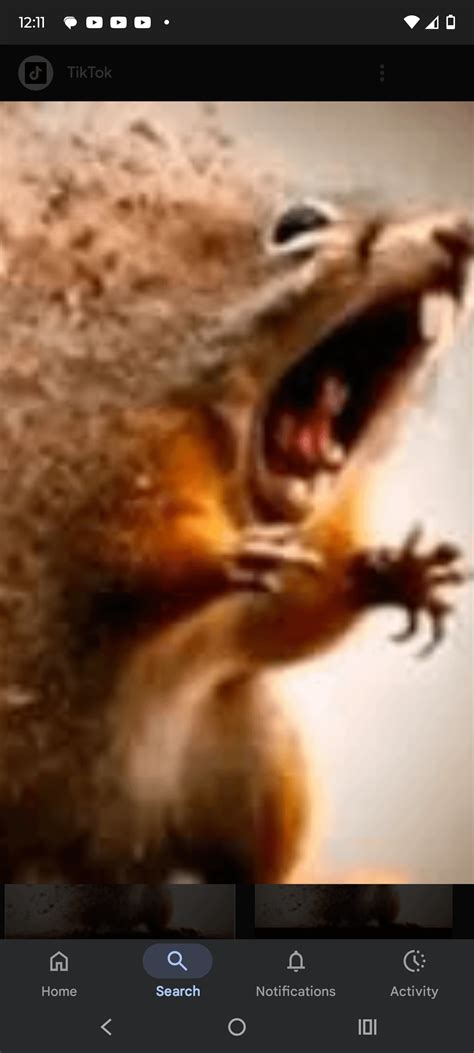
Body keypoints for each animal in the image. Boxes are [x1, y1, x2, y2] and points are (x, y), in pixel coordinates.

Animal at [0, 103, 472, 883]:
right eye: (298, 224)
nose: (461, 234)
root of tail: (119, 856)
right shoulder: (120, 462)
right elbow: (124, 558)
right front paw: (227, 559)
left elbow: (299, 616)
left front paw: (393, 572)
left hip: (255, 760)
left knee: (253, 873)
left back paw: (355, 890)